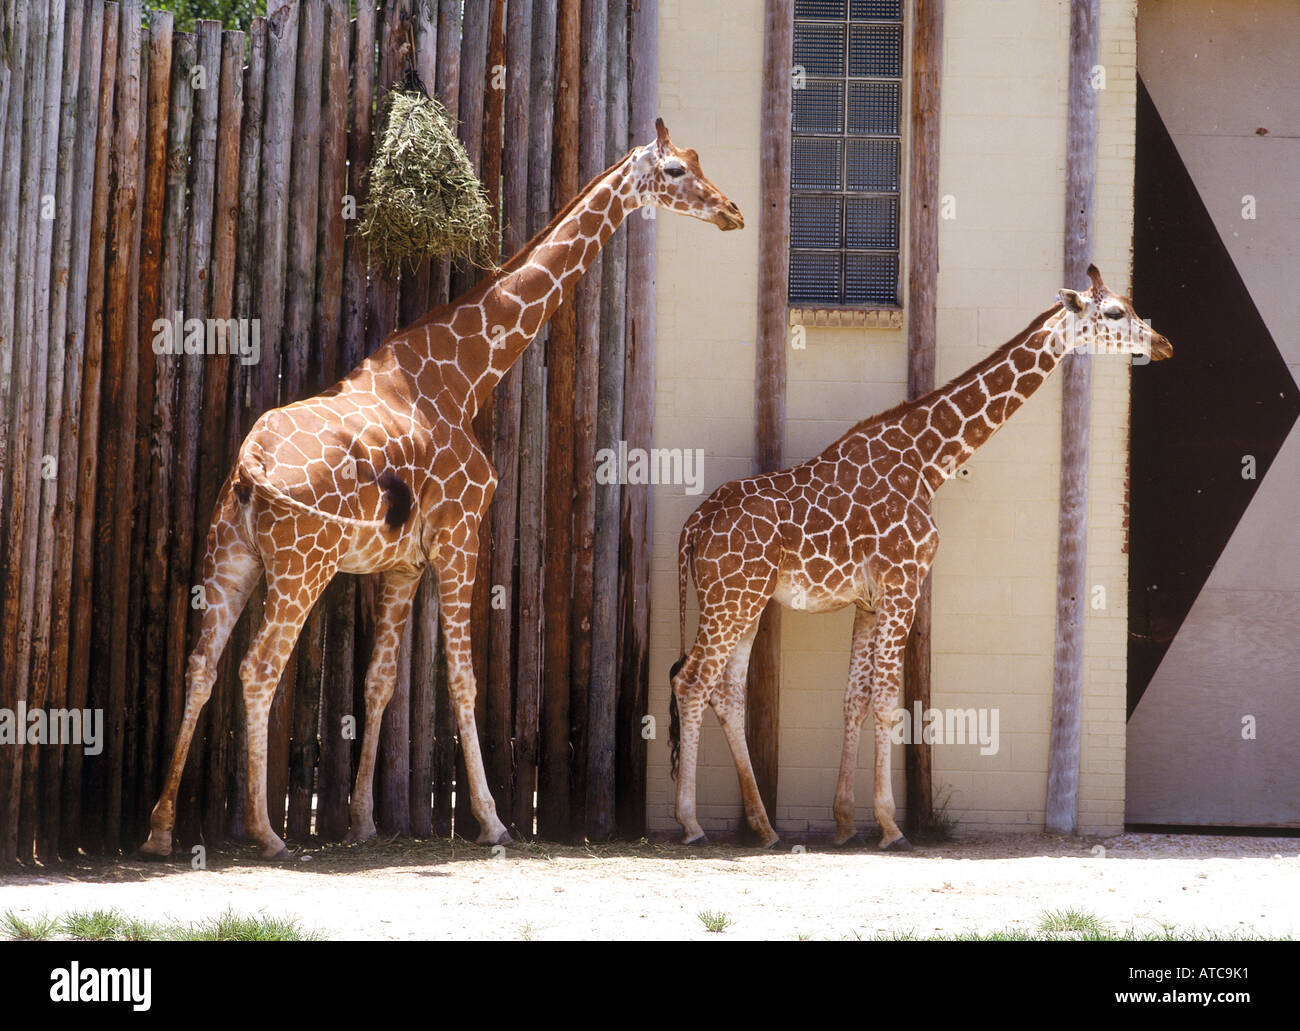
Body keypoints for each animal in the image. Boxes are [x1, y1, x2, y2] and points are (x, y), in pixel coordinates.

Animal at [140, 119, 743, 860]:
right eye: (675, 170)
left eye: (696, 161)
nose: (732, 211)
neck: (467, 375)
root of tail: (251, 464)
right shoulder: (460, 538)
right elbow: (463, 678)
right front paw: (492, 820)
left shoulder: (401, 563)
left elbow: (379, 682)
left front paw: (364, 821)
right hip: (302, 568)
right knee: (257, 669)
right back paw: (265, 832)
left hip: (231, 557)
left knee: (200, 665)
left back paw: (161, 828)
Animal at [668, 266, 1171, 850]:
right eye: (1114, 312)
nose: (1163, 344)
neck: (929, 462)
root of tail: (693, 526)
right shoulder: (904, 582)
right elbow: (888, 702)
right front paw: (890, 826)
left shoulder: (868, 600)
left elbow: (856, 699)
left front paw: (845, 822)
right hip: (732, 600)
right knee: (692, 682)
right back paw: (692, 824)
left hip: (743, 603)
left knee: (726, 693)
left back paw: (764, 826)